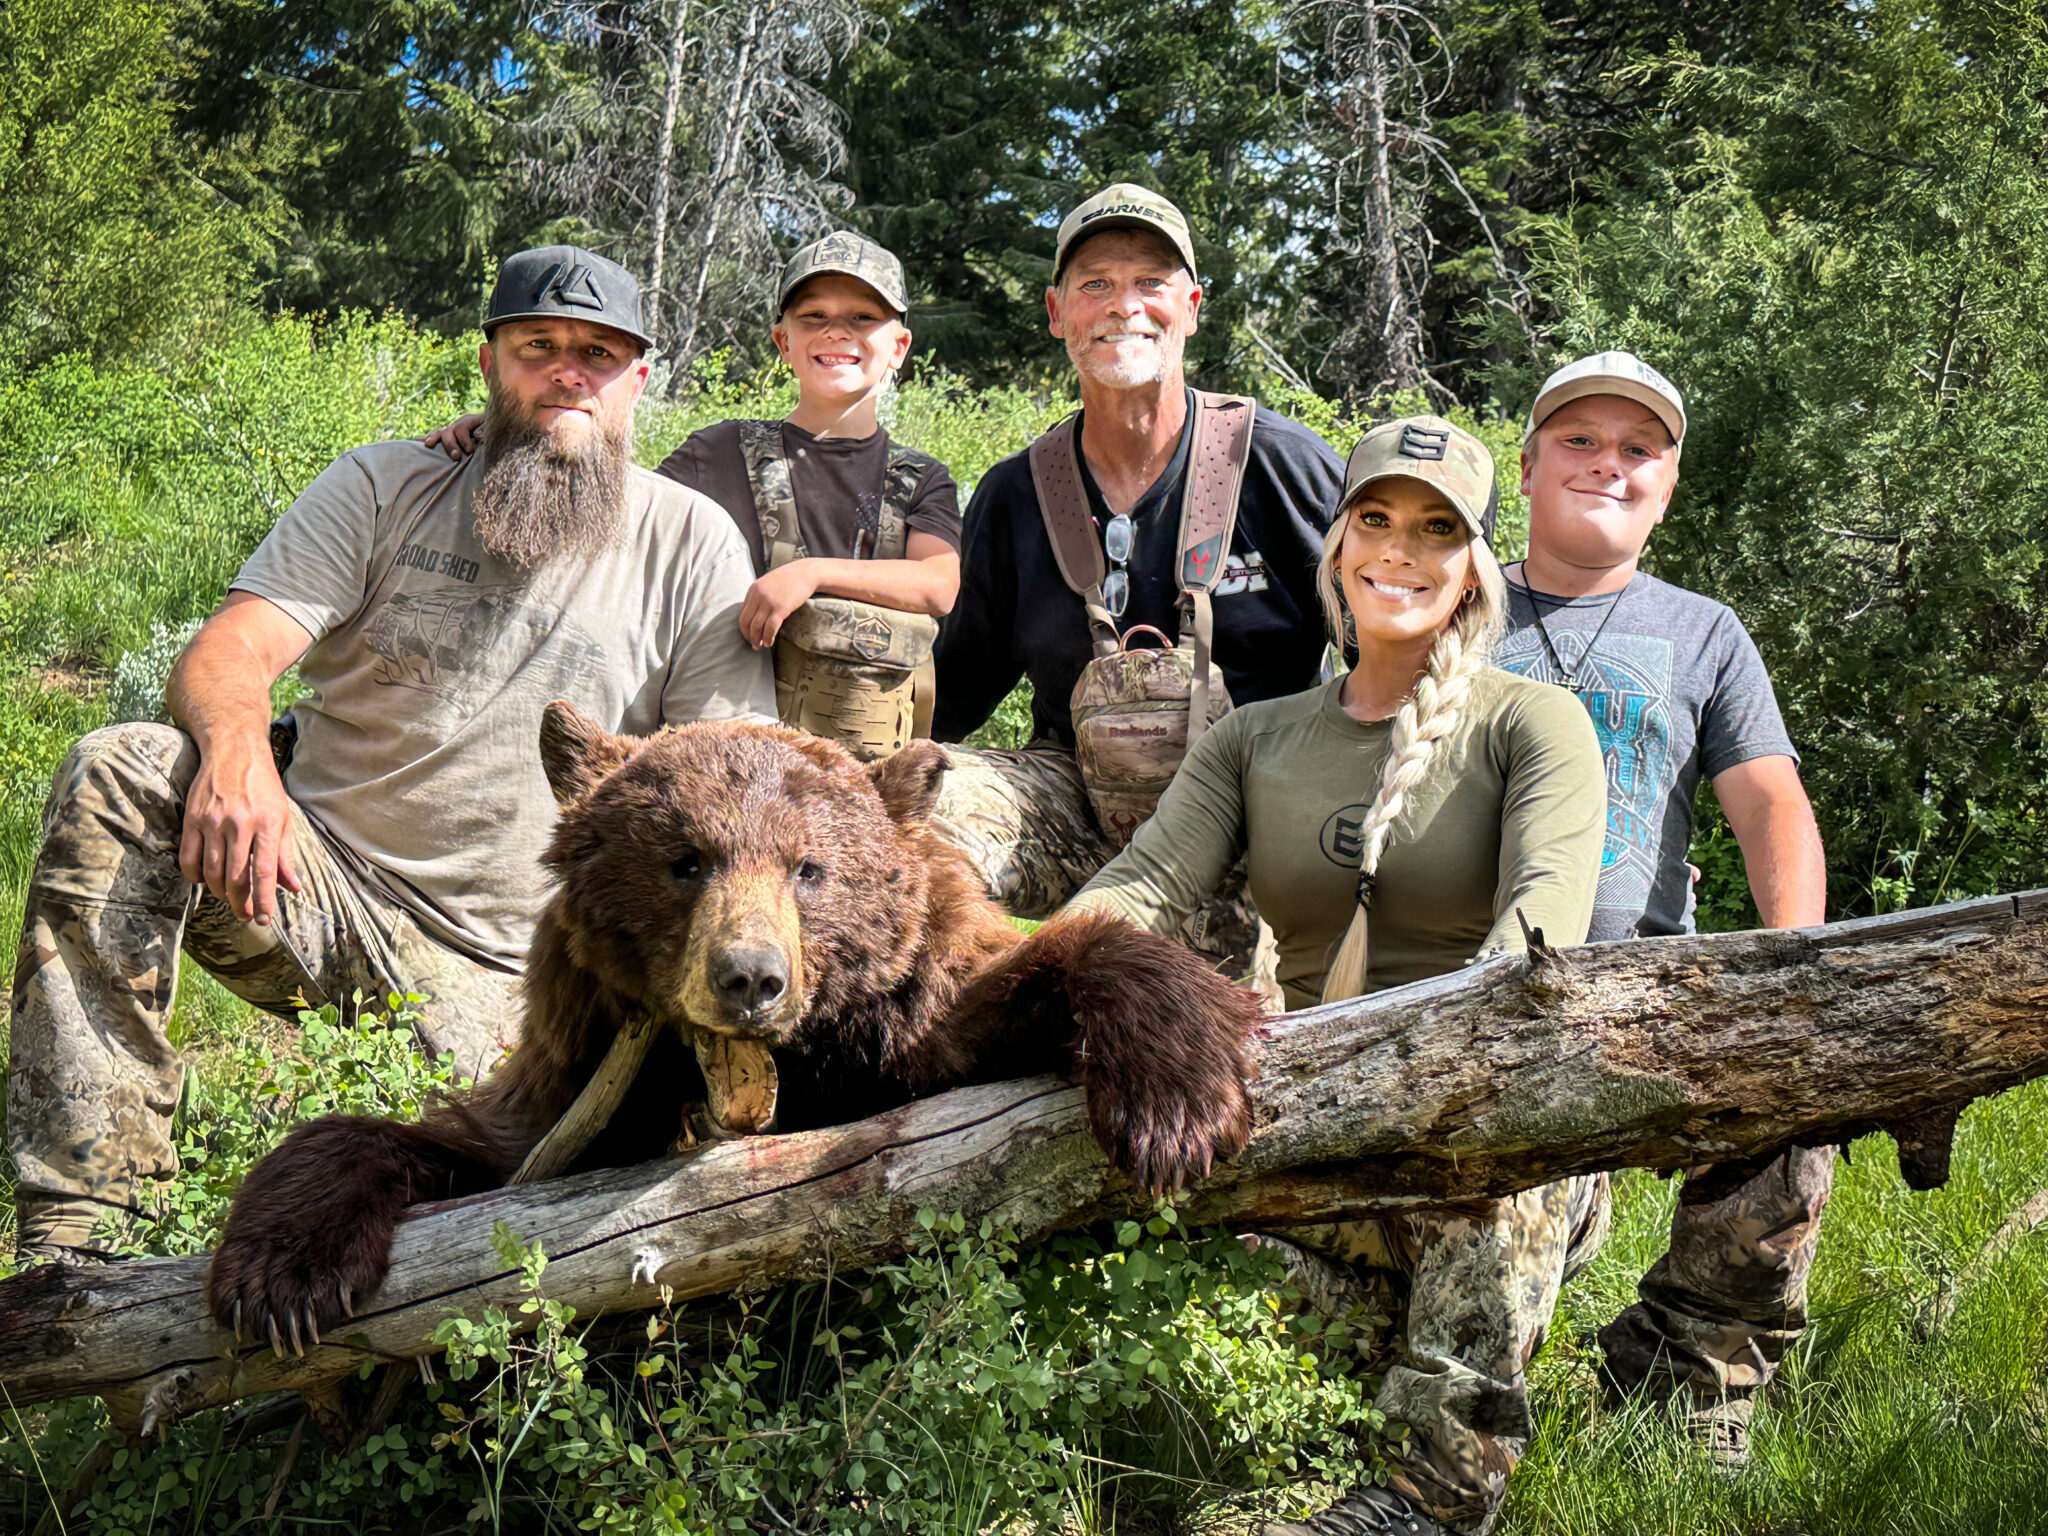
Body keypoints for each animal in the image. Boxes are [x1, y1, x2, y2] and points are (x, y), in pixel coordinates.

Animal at [206, 702, 1263, 1352]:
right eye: (686, 859)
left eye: (810, 868)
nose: (750, 977)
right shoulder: (581, 1071)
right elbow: (468, 1145)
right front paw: (280, 1277)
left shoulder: (900, 1025)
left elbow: (1004, 1006)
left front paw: (1175, 1109)